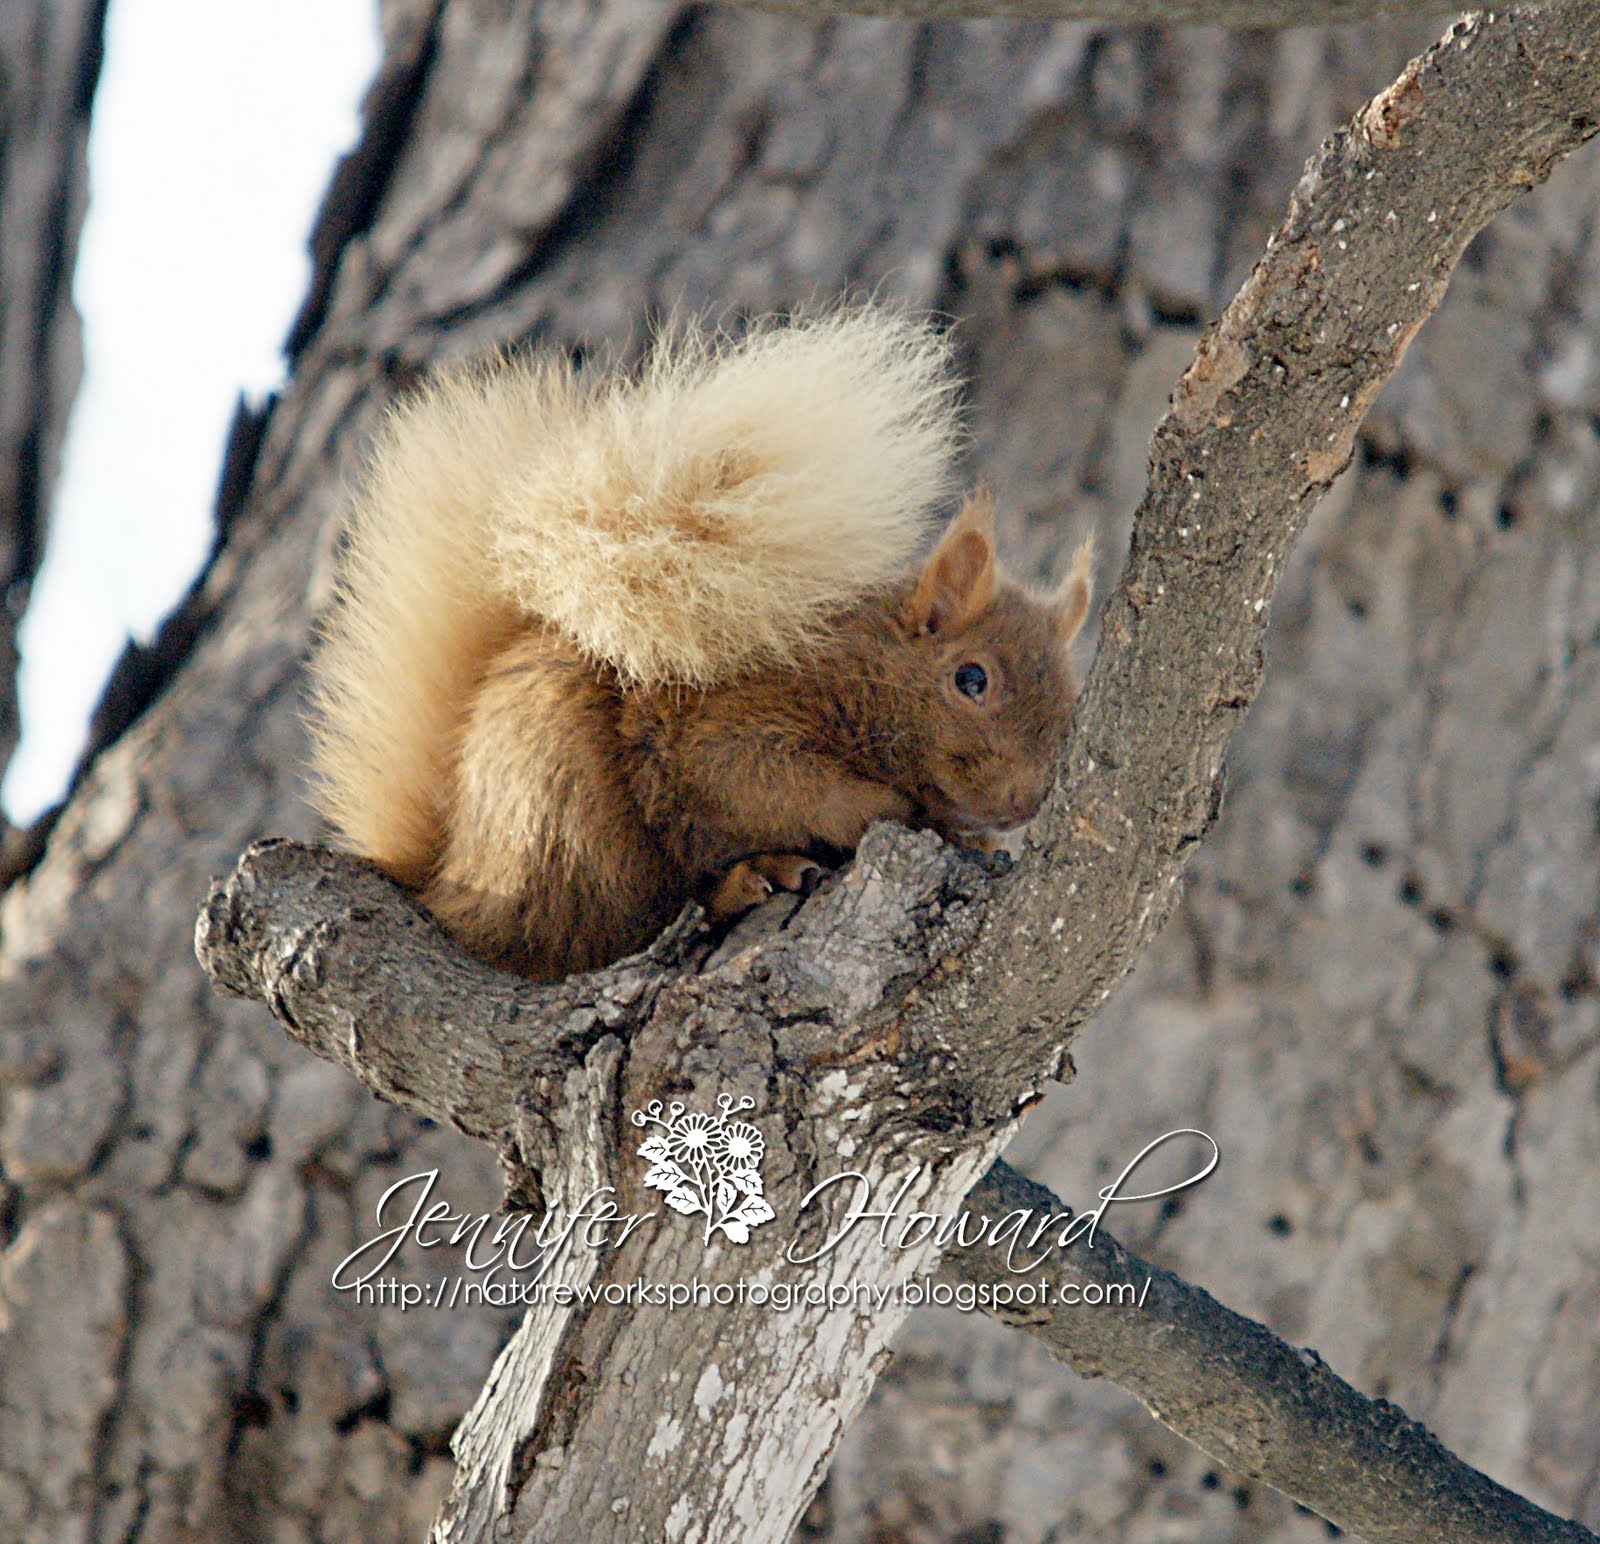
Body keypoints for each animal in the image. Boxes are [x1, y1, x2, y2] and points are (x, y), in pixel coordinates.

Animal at [305, 308, 1094, 982]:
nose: (1023, 803)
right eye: (972, 679)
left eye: (1070, 705)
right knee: (599, 933)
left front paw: (971, 838)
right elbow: (767, 779)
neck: (859, 661)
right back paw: (750, 878)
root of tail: (447, 882)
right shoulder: (730, 721)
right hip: (566, 812)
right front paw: (896, 808)